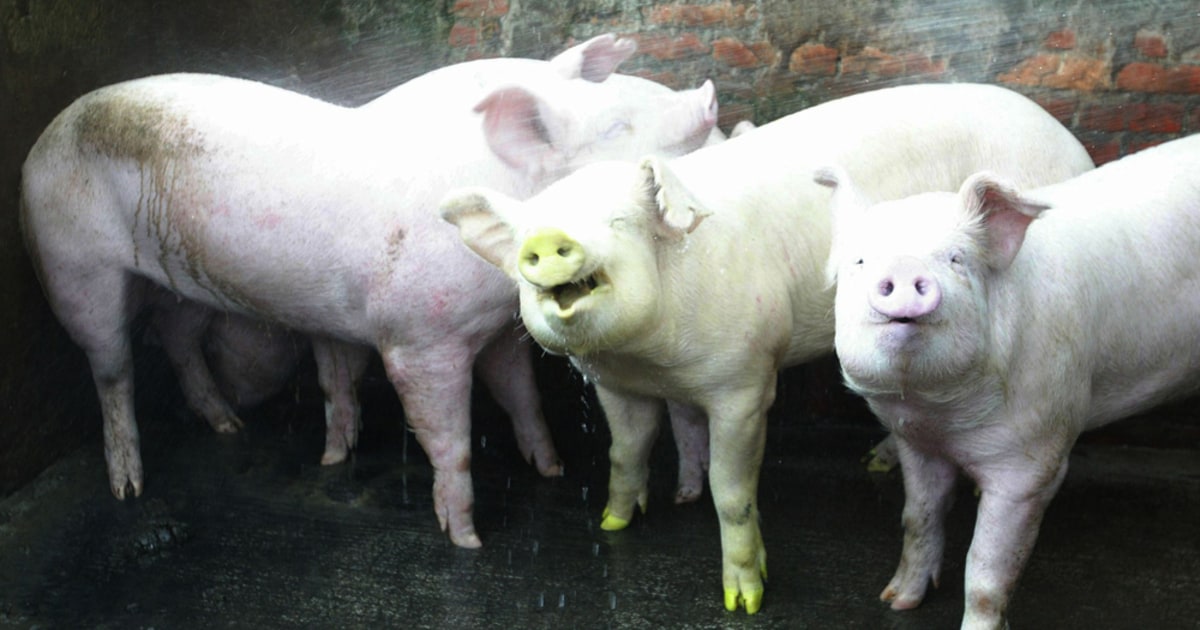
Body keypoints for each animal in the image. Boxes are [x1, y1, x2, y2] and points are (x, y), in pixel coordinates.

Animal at [20, 33, 719, 549]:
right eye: (616, 125)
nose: (710, 96)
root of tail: (41, 140)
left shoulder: (495, 327)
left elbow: (519, 395)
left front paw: (550, 469)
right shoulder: (420, 338)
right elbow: (447, 436)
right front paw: (467, 540)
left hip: (182, 284)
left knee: (178, 338)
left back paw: (228, 427)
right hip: (73, 264)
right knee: (112, 370)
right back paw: (128, 487)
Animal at [440, 82, 1095, 612]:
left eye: (620, 223)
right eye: (525, 238)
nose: (550, 240)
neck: (651, 360)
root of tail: (1069, 140)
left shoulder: (745, 384)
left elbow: (732, 494)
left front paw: (745, 600)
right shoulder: (614, 384)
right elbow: (626, 452)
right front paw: (616, 522)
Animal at [817, 133, 1200, 628]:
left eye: (957, 259)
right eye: (860, 261)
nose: (902, 268)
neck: (940, 413)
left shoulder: (1031, 459)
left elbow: (986, 571)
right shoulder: (916, 444)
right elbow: (917, 517)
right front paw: (896, 601)